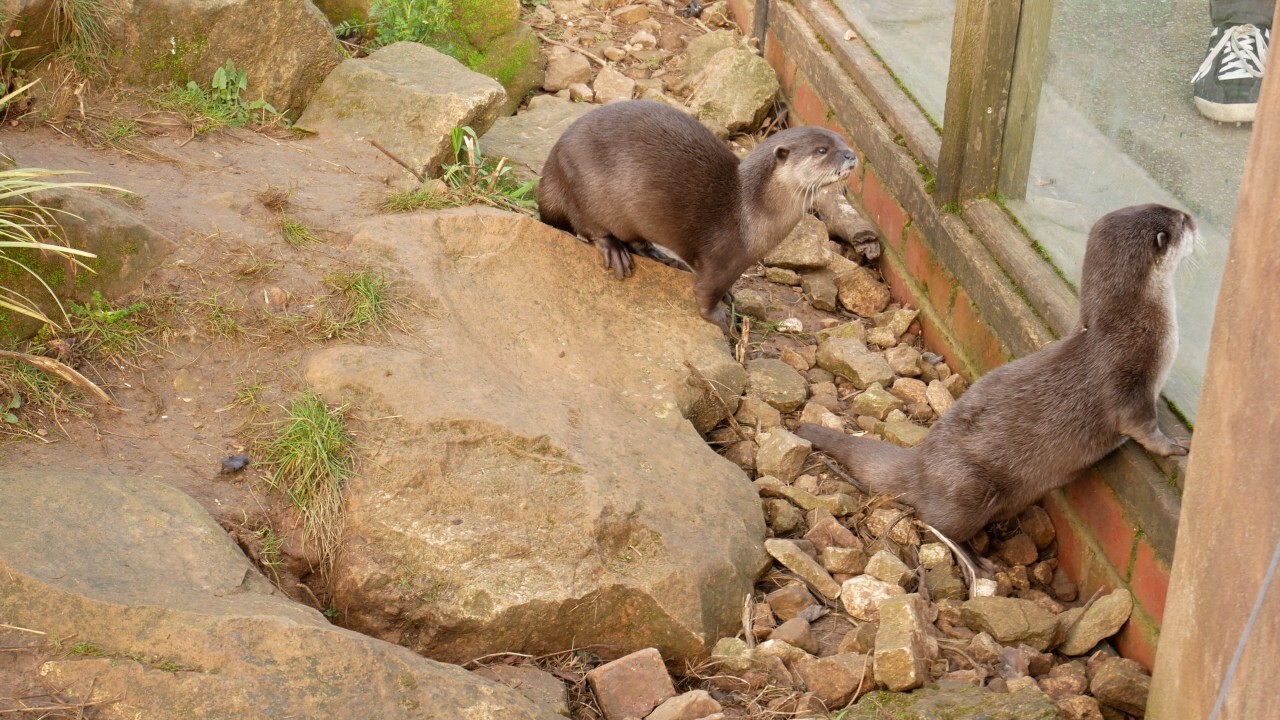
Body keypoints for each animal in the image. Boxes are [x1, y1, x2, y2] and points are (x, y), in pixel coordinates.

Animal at [537, 100, 858, 332]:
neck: (750, 210)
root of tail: (553, 159)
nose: (852, 155)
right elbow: (705, 291)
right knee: (589, 227)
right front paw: (719, 317)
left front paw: (729, 297)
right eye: (822, 150)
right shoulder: (724, 257)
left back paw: (661, 256)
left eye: (843, 142)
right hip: (583, 185)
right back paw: (614, 251)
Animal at [797, 203, 1195, 543]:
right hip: (967, 486)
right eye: (1181, 221)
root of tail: (921, 462)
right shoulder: (1126, 377)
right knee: (936, 524)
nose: (1193, 219)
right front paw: (1176, 445)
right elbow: (1140, 424)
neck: (1132, 325)